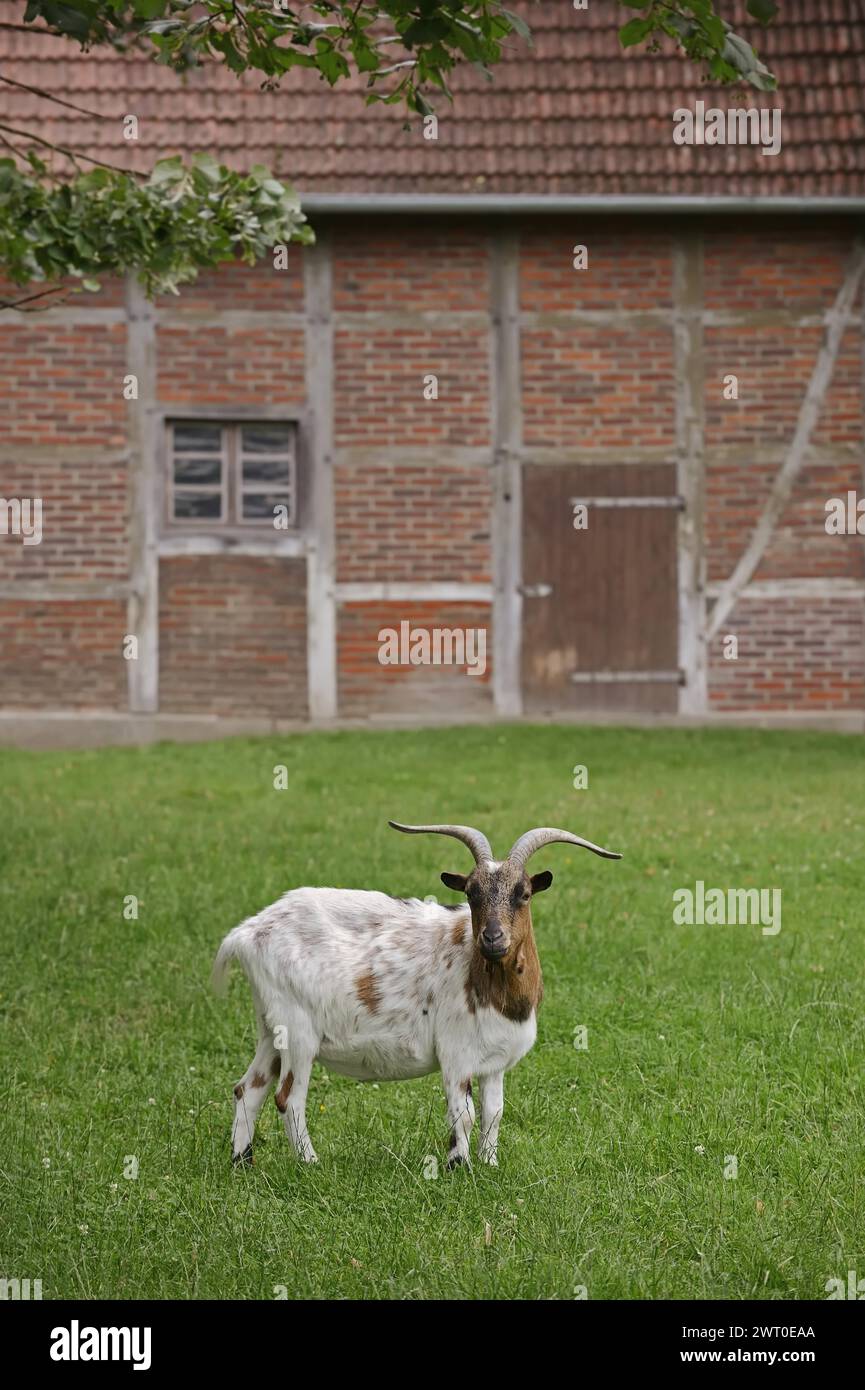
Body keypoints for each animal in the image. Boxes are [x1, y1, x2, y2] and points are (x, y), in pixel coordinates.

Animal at [213, 821, 621, 1168]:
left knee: (248, 1088)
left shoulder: (495, 1061)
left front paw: (490, 1166)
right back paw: (310, 1164)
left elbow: (494, 1113)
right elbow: (464, 1113)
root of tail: (247, 932)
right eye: (471, 893)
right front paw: (459, 1167)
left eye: (523, 894)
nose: (492, 938)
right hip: (298, 1031)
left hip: (270, 1027)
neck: (485, 980)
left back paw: (241, 1162)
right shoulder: (455, 1053)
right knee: (288, 1098)